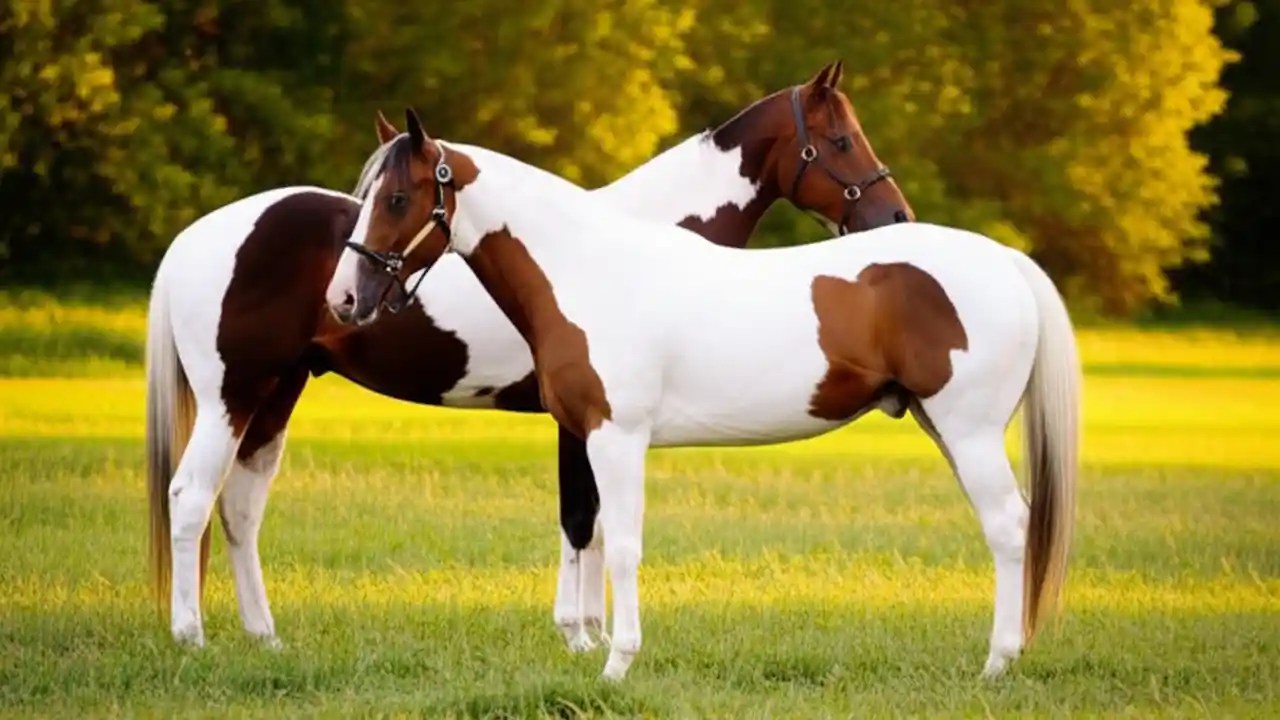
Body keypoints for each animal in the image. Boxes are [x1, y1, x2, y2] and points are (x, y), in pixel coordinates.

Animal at [145, 61, 915, 650]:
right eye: (841, 140)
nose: (896, 218)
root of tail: (192, 238)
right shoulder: (584, 421)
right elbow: (582, 520)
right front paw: (580, 635)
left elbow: (593, 523)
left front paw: (593, 631)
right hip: (233, 394)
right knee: (190, 498)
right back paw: (191, 637)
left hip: (278, 393)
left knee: (239, 507)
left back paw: (265, 636)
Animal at [326, 109, 1080, 681]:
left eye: (397, 199)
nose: (345, 298)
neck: (590, 268)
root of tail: (1004, 259)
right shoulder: (587, 438)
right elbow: (596, 533)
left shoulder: (617, 438)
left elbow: (622, 545)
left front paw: (617, 664)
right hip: (943, 426)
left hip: (969, 431)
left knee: (1007, 525)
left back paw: (996, 664)